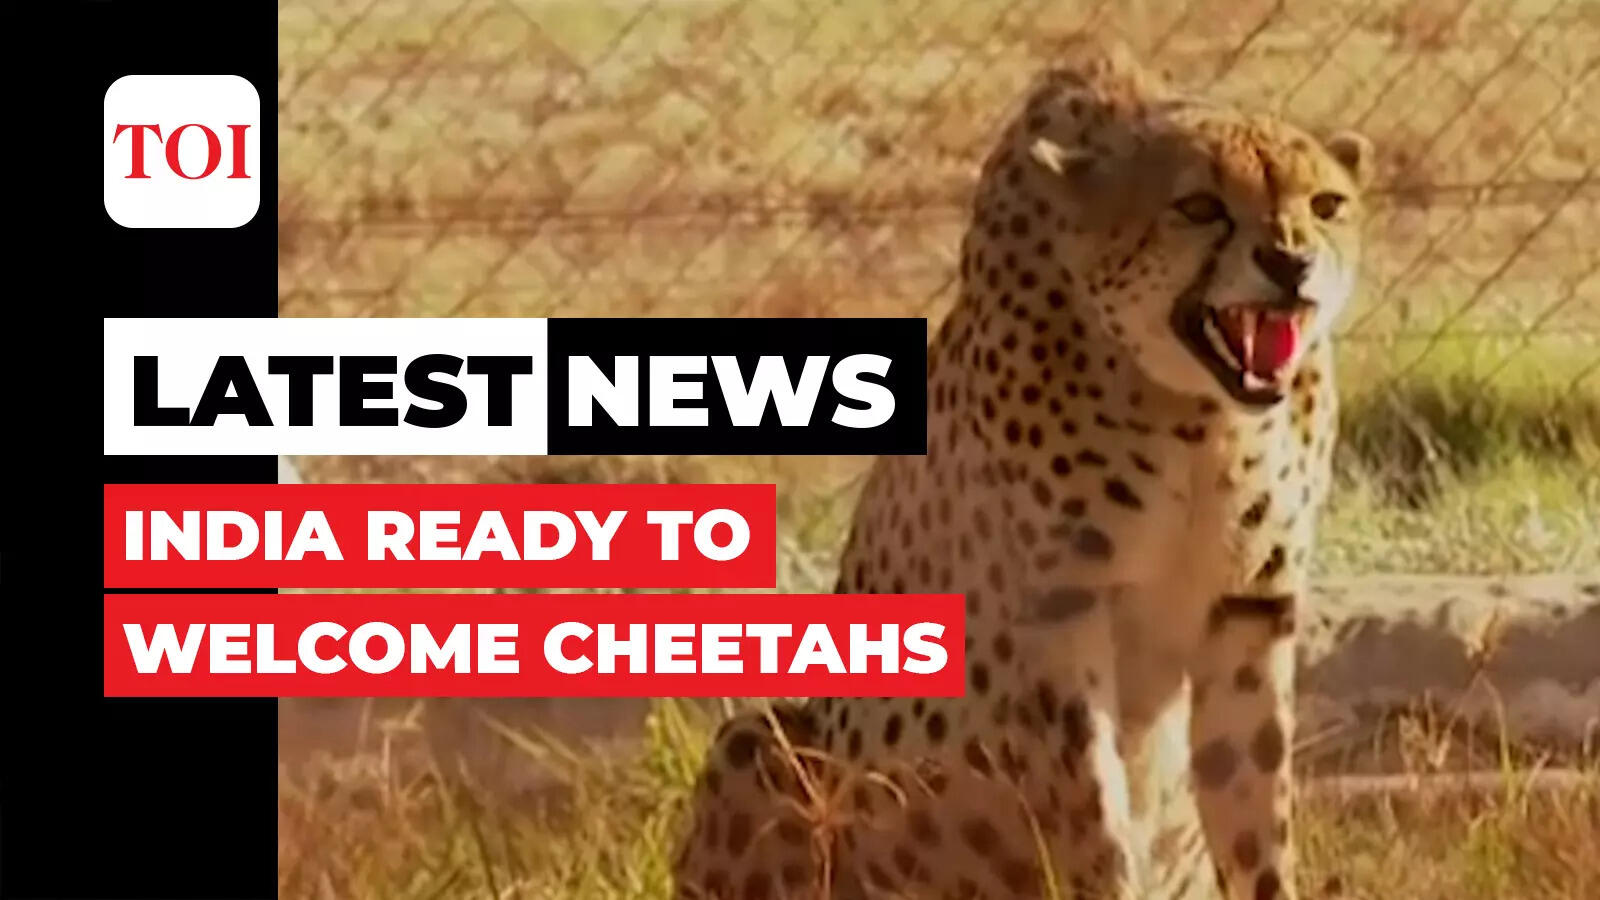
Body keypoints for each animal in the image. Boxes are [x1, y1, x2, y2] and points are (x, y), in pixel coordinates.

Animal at [672, 36, 1373, 900]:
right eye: (1199, 207)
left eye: (1326, 205)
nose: (1289, 261)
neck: (1196, 414)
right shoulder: (1058, 619)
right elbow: (1092, 827)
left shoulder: (1246, 613)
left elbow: (1254, 822)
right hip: (763, 738)